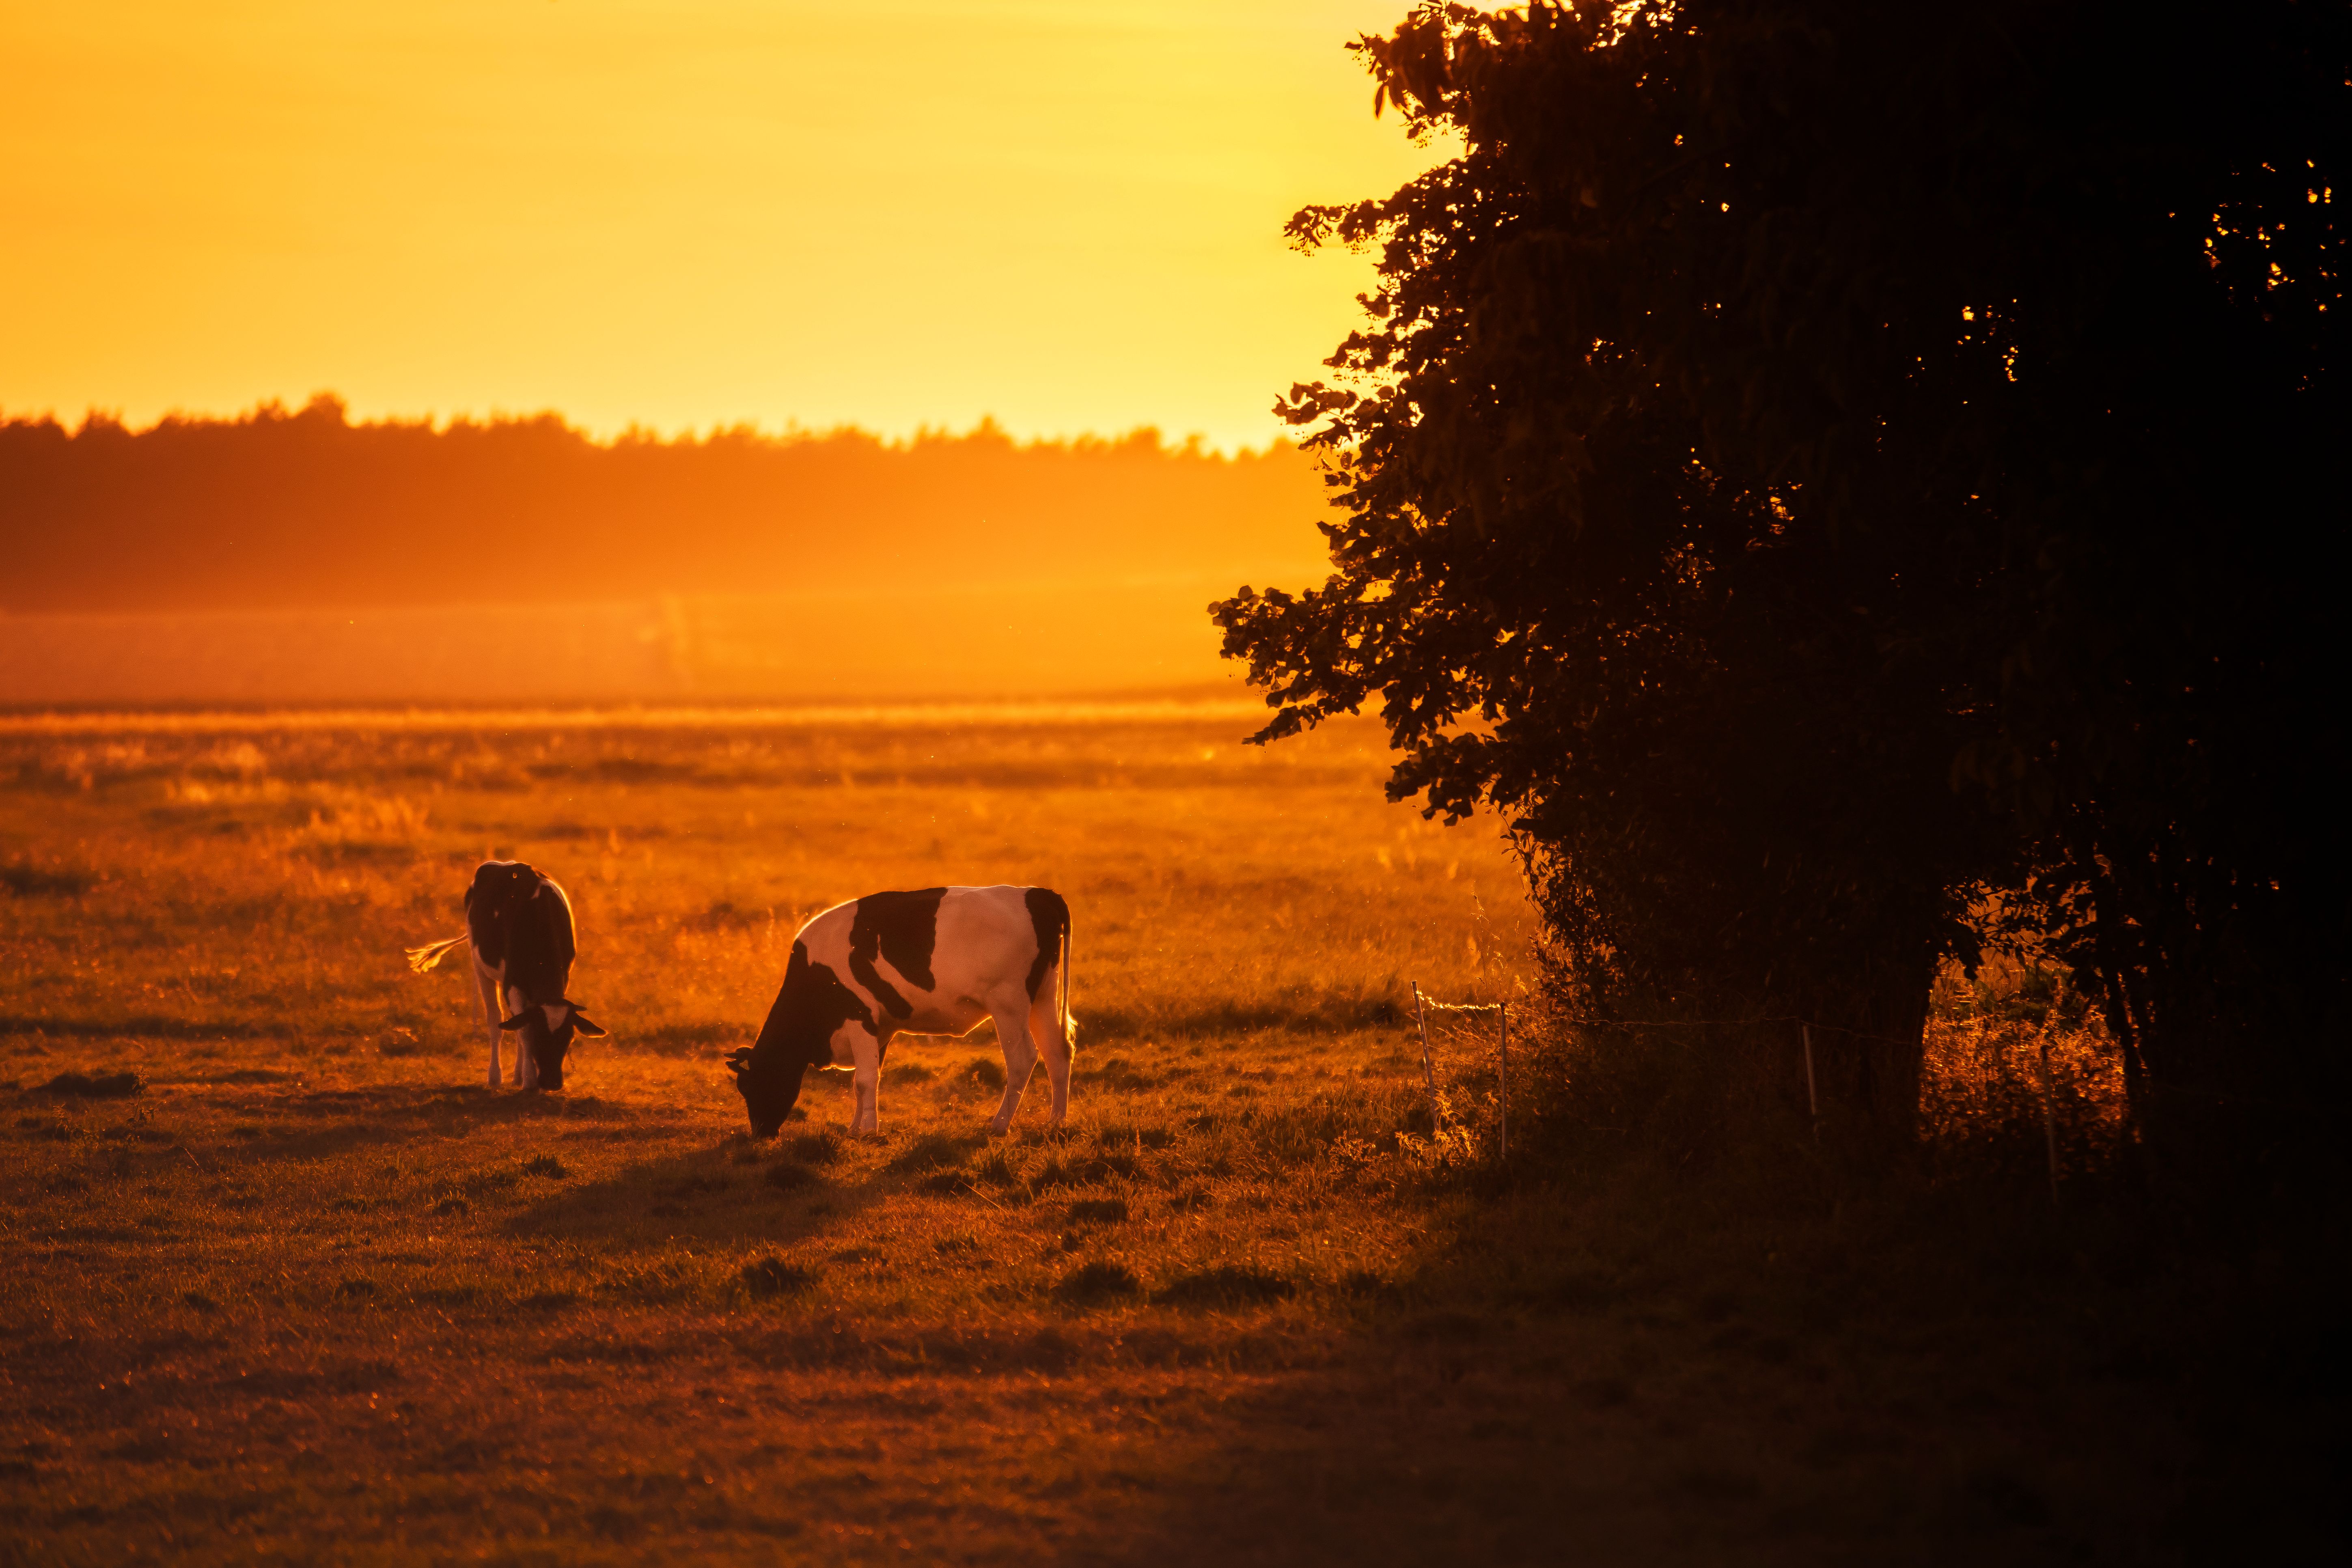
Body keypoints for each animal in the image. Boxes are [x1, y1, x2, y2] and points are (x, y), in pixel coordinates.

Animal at [406, 860, 605, 1092]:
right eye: (539, 1034)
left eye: (570, 1037)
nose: (552, 1082)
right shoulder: (513, 982)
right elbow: (522, 1030)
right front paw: (530, 1081)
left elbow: (521, 1028)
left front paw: (525, 1077)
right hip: (480, 965)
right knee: (496, 1020)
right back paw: (495, 1077)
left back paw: (516, 1076)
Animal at [728, 885, 1071, 1139]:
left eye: (749, 1086)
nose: (760, 1134)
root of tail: (1037, 893)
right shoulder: (881, 1027)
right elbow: (863, 1080)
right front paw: (855, 1128)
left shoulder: (860, 1015)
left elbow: (865, 1080)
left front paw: (868, 1131)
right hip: (1043, 998)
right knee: (1057, 1053)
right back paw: (1055, 1122)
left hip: (1008, 1003)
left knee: (1022, 1058)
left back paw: (1000, 1124)